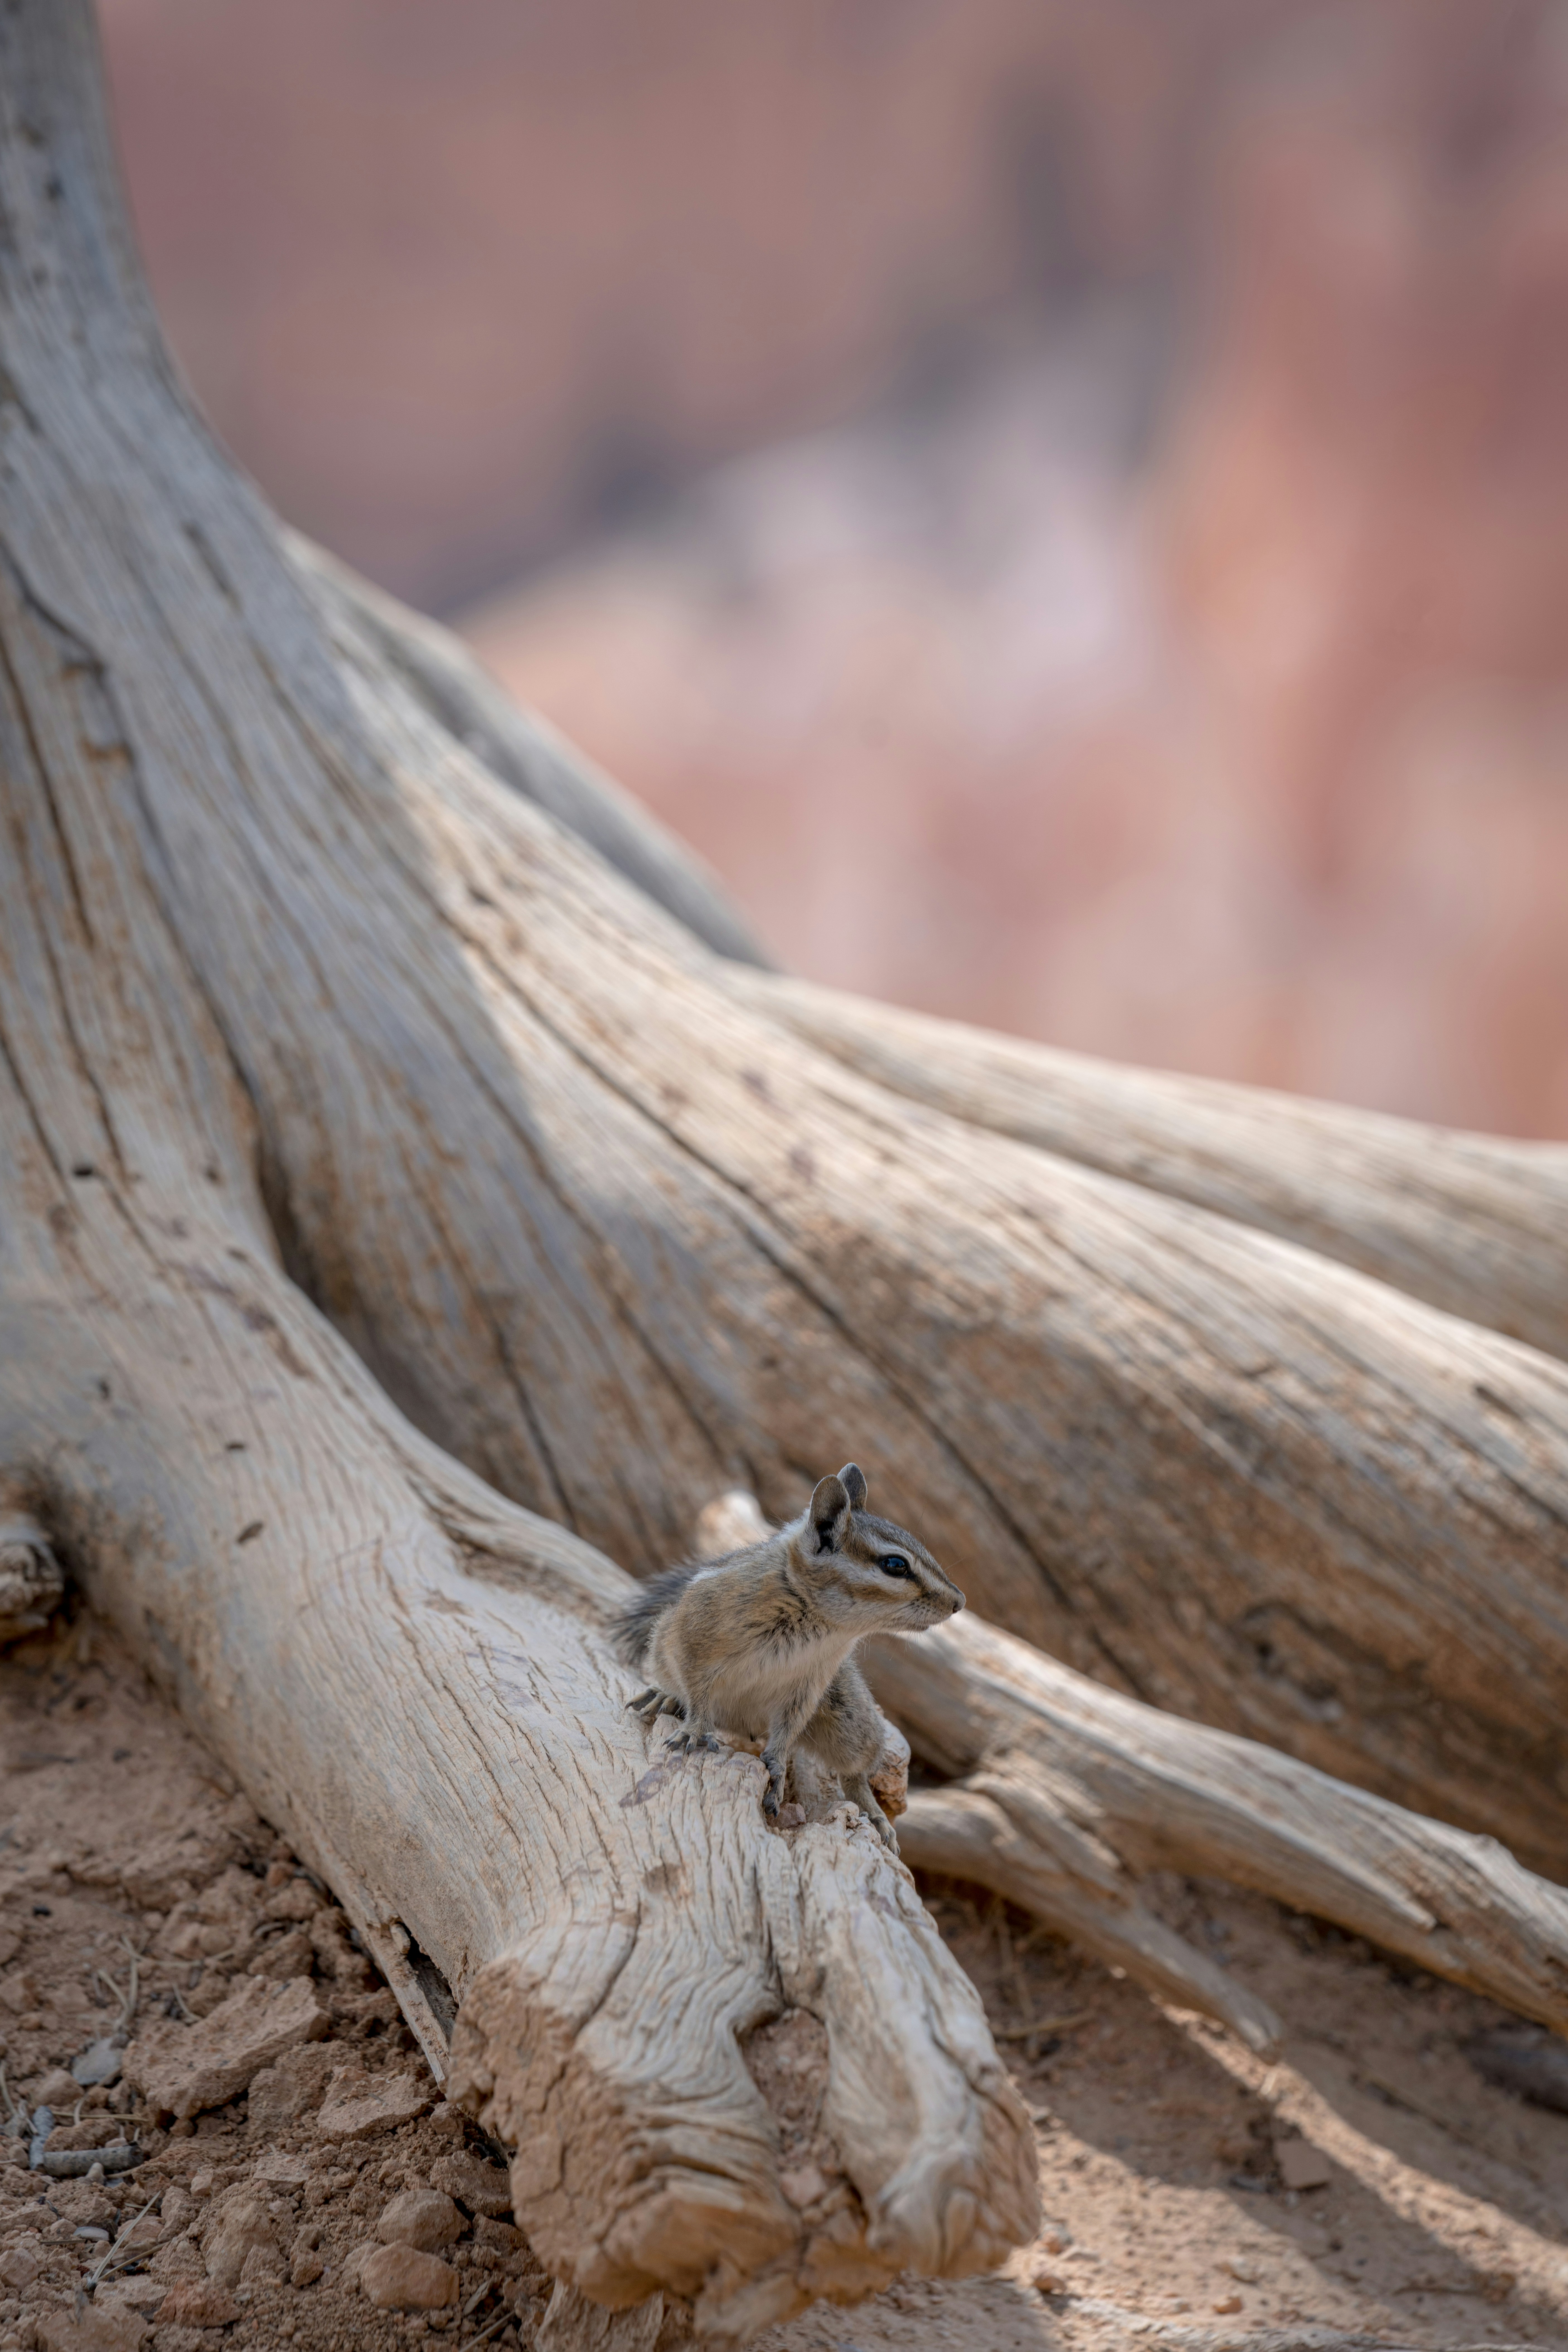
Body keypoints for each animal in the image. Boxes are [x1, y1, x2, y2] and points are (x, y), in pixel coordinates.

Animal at [610, 1463, 963, 1849]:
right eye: (896, 1564)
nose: (959, 1601)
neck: (818, 1621)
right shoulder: (694, 1640)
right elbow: (697, 1691)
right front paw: (695, 1728)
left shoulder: (809, 1685)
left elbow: (788, 1730)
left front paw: (777, 1767)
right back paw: (665, 1697)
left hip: (851, 1718)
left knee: (855, 1773)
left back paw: (875, 1815)